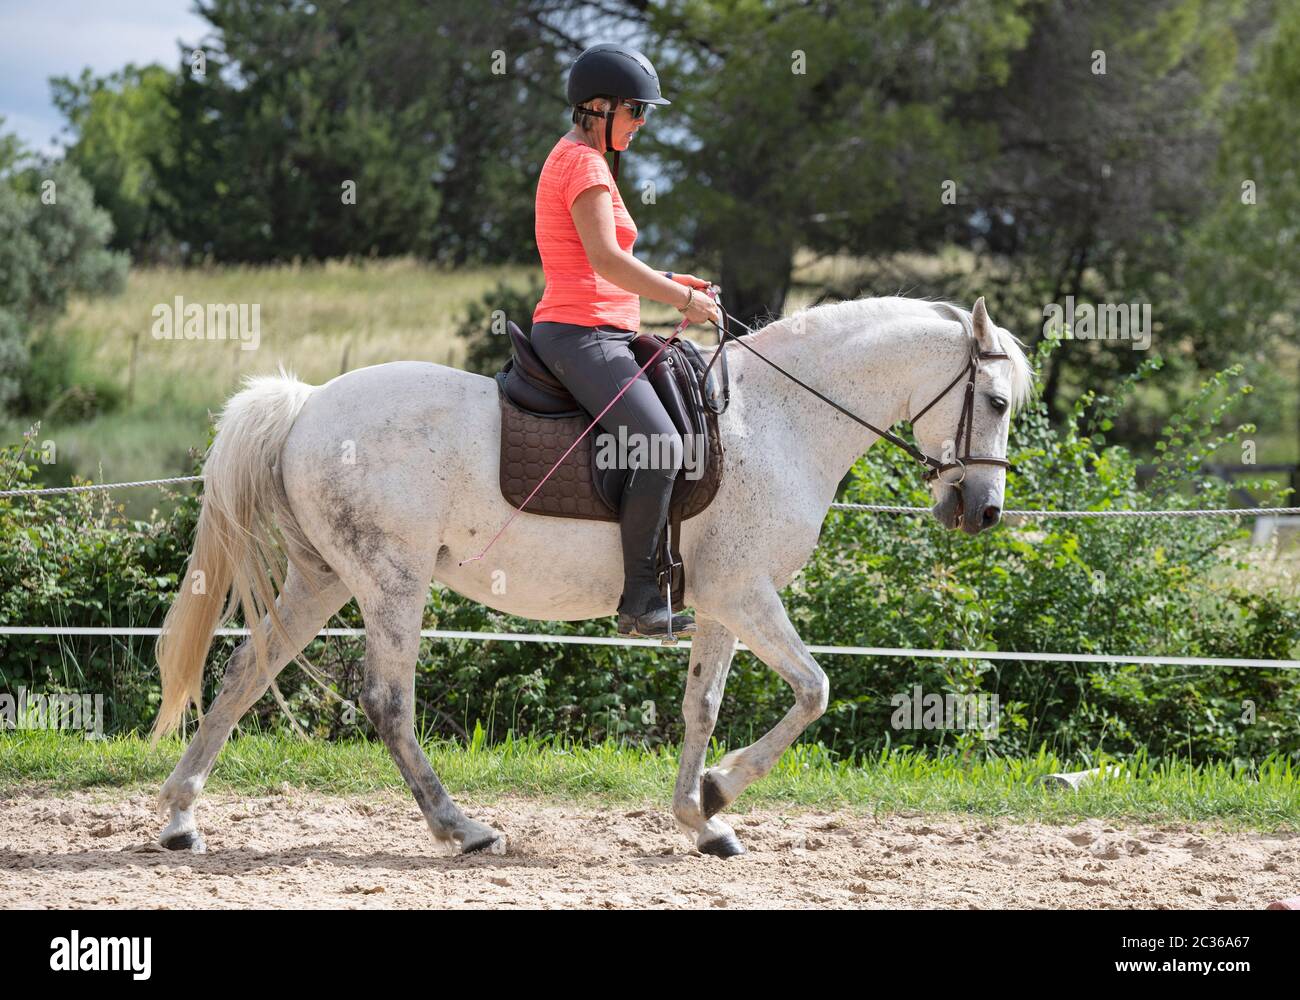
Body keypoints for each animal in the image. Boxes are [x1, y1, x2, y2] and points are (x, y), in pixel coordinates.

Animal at [151, 294, 1033, 857]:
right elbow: (815, 689)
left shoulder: (719, 605)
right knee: (386, 702)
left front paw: (701, 819)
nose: (983, 510)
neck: (782, 419)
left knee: (245, 671)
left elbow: (702, 706)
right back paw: (461, 829)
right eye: (994, 401)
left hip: (325, 578)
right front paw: (720, 792)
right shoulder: (745, 594)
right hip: (391, 582)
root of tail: (304, 407)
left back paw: (181, 820)